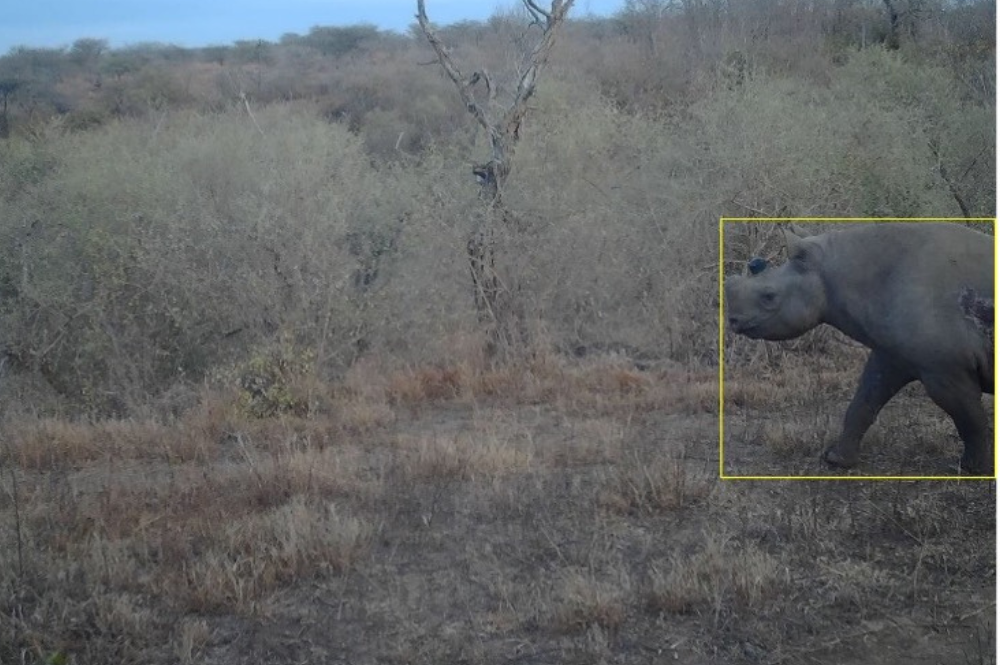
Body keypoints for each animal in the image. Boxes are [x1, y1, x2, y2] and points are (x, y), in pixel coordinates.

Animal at [725, 222, 995, 475]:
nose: (733, 321)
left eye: (769, 296)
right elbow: (864, 401)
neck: (835, 271)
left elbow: (970, 419)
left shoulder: (946, 369)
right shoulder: (892, 355)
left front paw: (975, 468)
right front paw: (837, 459)